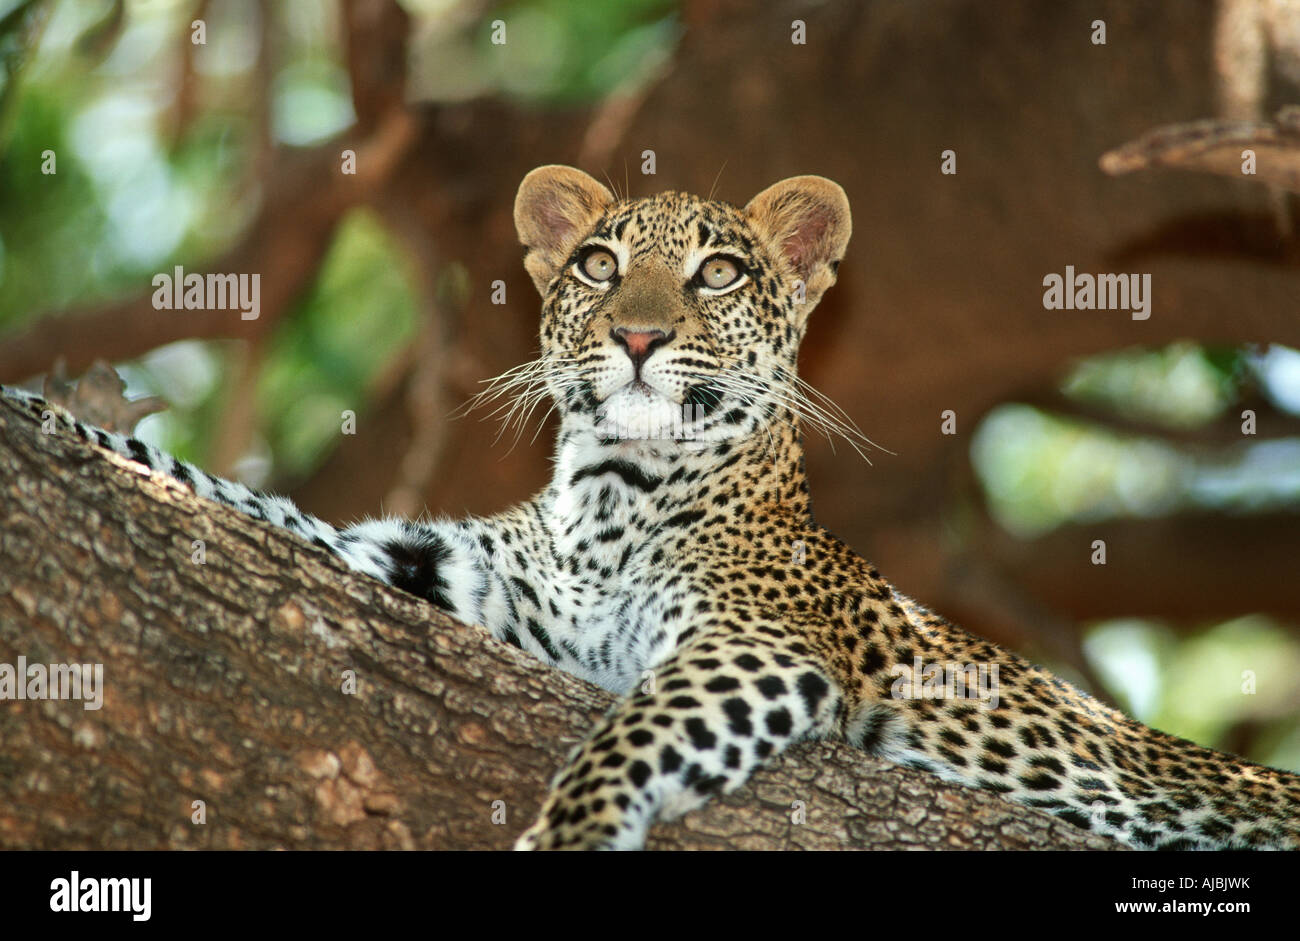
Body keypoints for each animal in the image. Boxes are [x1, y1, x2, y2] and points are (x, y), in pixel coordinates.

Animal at [4, 165, 1298, 850]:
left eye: (717, 272)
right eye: (596, 263)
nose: (634, 334)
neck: (612, 498)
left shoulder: (753, 645)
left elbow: (624, 731)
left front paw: (568, 830)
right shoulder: (451, 574)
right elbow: (243, 500)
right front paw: (54, 420)